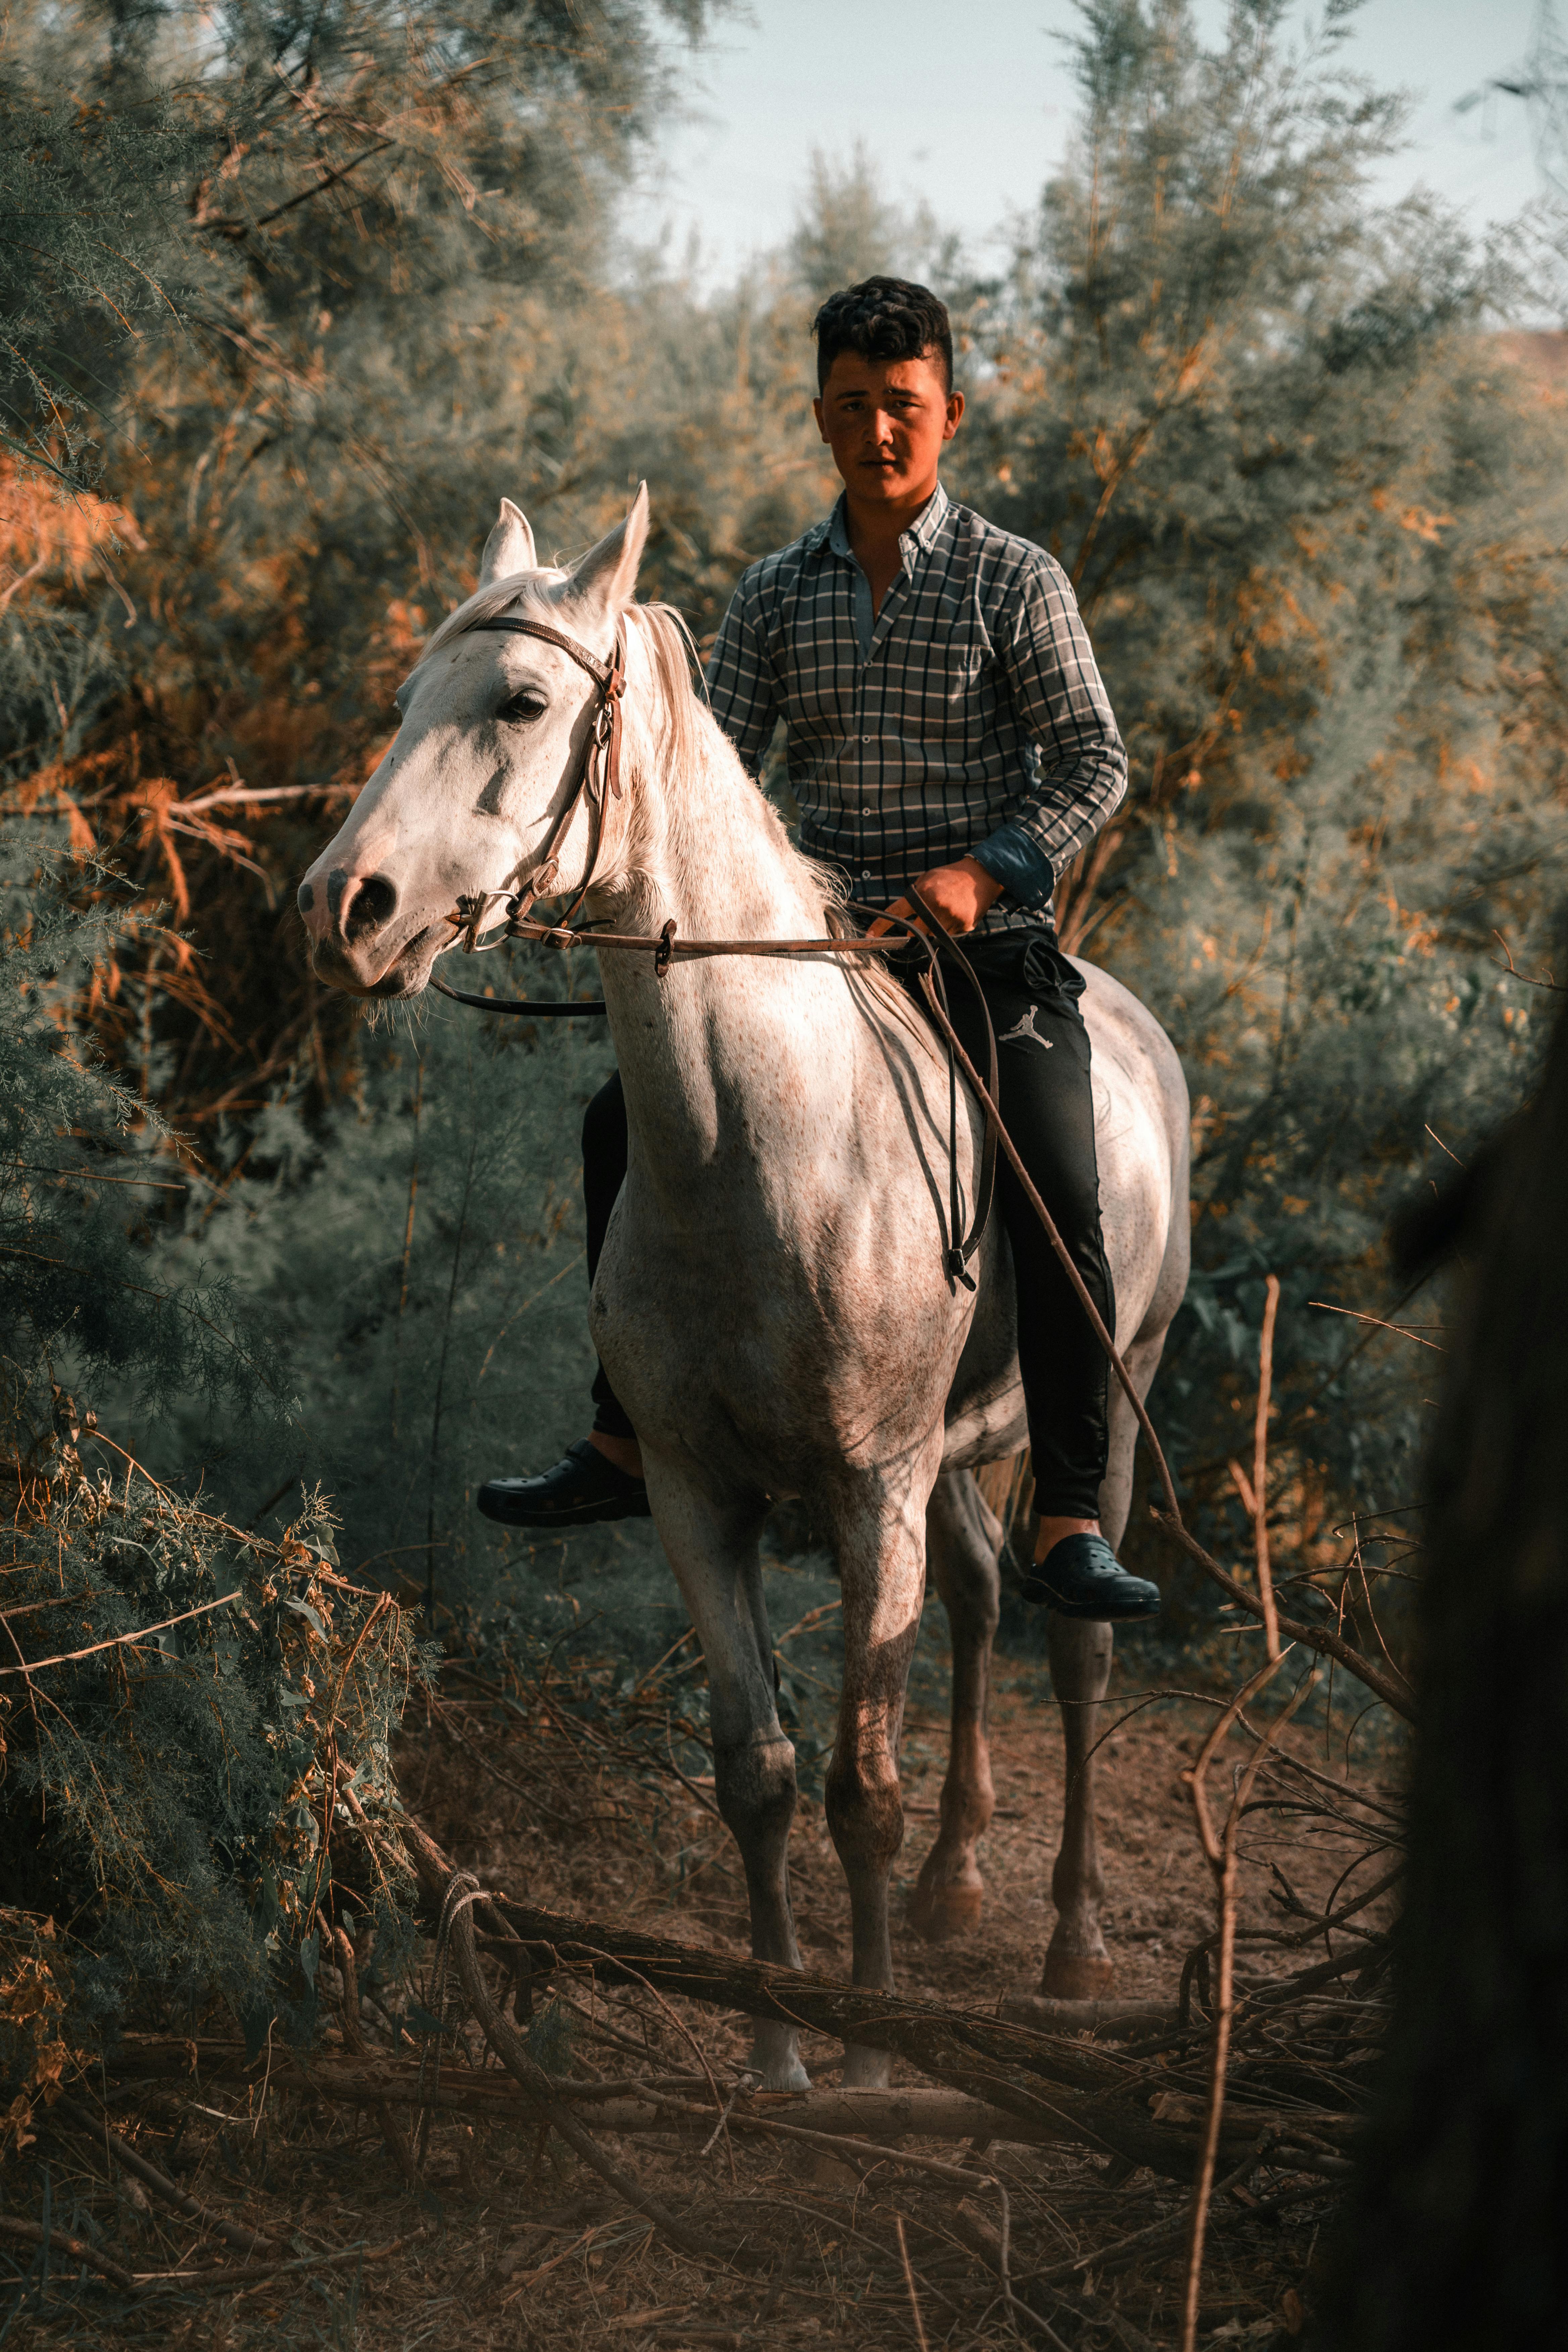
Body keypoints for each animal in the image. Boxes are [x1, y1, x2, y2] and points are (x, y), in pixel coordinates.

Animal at [298, 486, 1190, 2090]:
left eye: (521, 703)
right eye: (407, 701)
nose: (347, 906)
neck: (770, 1145)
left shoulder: (867, 1490)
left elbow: (860, 1786)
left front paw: (872, 2053)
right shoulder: (693, 1493)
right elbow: (759, 1774)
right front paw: (782, 2044)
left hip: (1099, 1399)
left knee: (1075, 1645)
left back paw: (1071, 1946)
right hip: (947, 1464)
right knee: (979, 1597)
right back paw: (955, 1887)